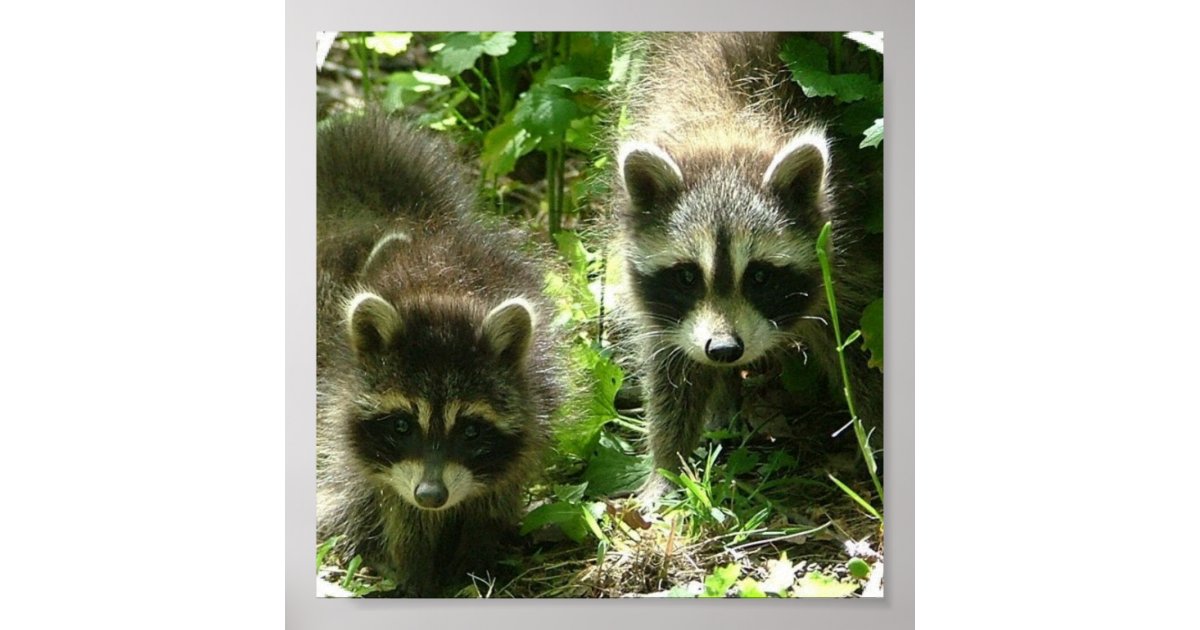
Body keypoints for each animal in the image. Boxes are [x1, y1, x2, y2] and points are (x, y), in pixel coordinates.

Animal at [316, 112, 563, 596]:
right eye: (401, 425)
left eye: (470, 430)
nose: (432, 496)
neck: (446, 291)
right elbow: (397, 509)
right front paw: (415, 572)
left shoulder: (530, 408)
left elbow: (493, 495)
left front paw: (473, 564)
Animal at [607, 33, 883, 501]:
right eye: (687, 276)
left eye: (759, 276)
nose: (723, 350)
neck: (727, 126)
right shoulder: (663, 307)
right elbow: (670, 373)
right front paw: (667, 466)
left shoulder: (847, 254)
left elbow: (861, 348)